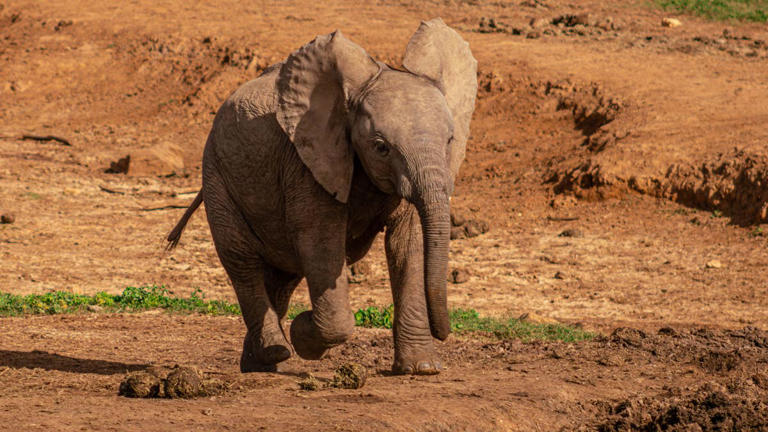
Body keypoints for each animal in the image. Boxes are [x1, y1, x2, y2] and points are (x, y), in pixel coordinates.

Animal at [166, 18, 477, 375]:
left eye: (451, 140)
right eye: (380, 147)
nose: (445, 332)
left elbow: (408, 243)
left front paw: (421, 368)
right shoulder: (307, 160)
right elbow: (320, 241)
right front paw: (304, 333)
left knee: (281, 275)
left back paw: (258, 363)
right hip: (217, 176)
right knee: (242, 260)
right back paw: (276, 351)